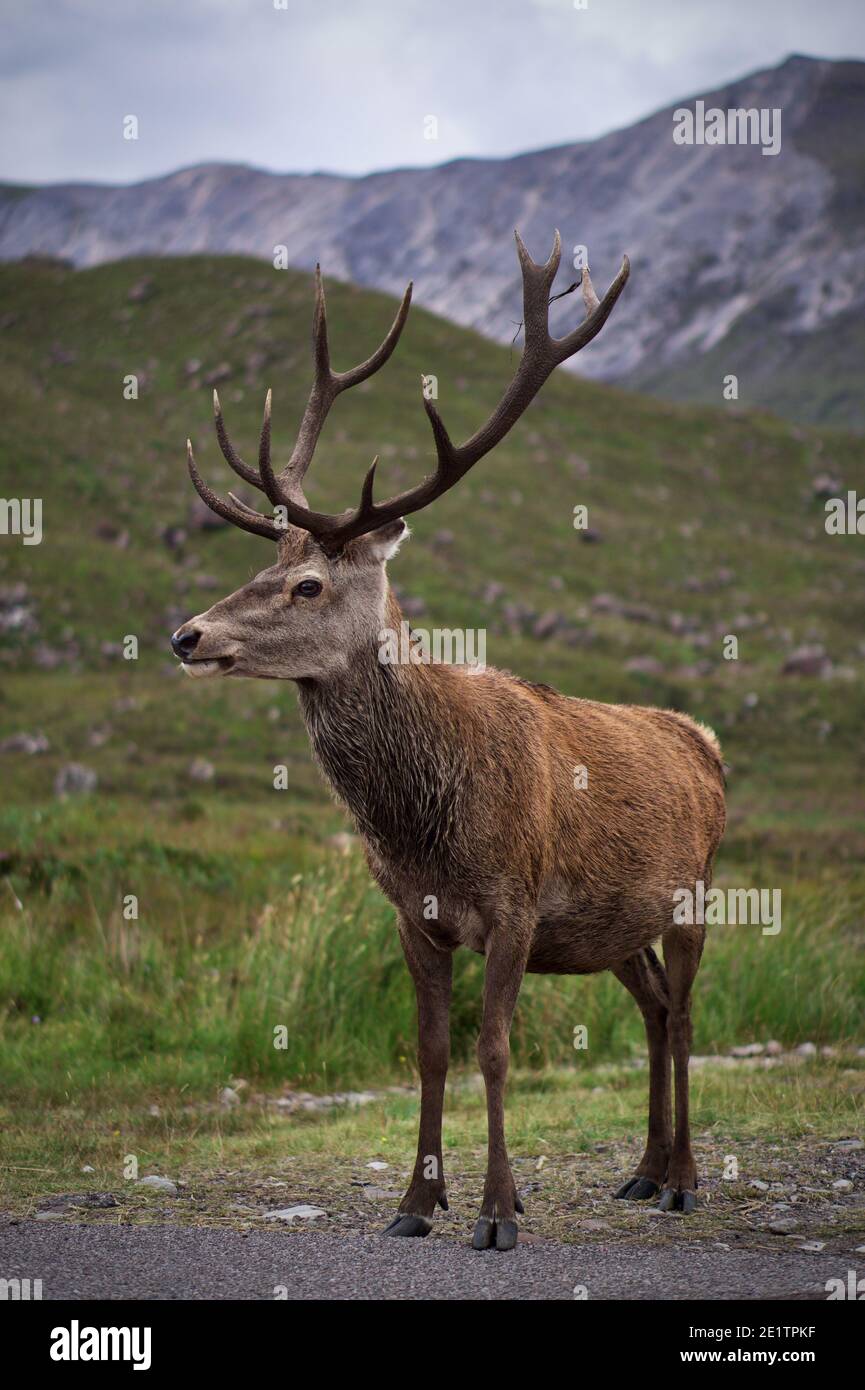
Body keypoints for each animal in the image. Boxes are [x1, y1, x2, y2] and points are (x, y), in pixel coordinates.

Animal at [171, 232, 726, 1251]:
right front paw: (414, 1204)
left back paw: (683, 1180)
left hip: (695, 890)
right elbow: (430, 1052)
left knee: (684, 1018)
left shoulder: (514, 904)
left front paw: (498, 1212)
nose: (186, 635)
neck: (426, 823)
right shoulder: (409, 914)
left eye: (307, 584)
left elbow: (494, 1050)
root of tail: (702, 740)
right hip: (613, 925)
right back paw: (639, 1171)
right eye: (262, 567)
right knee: (655, 1008)